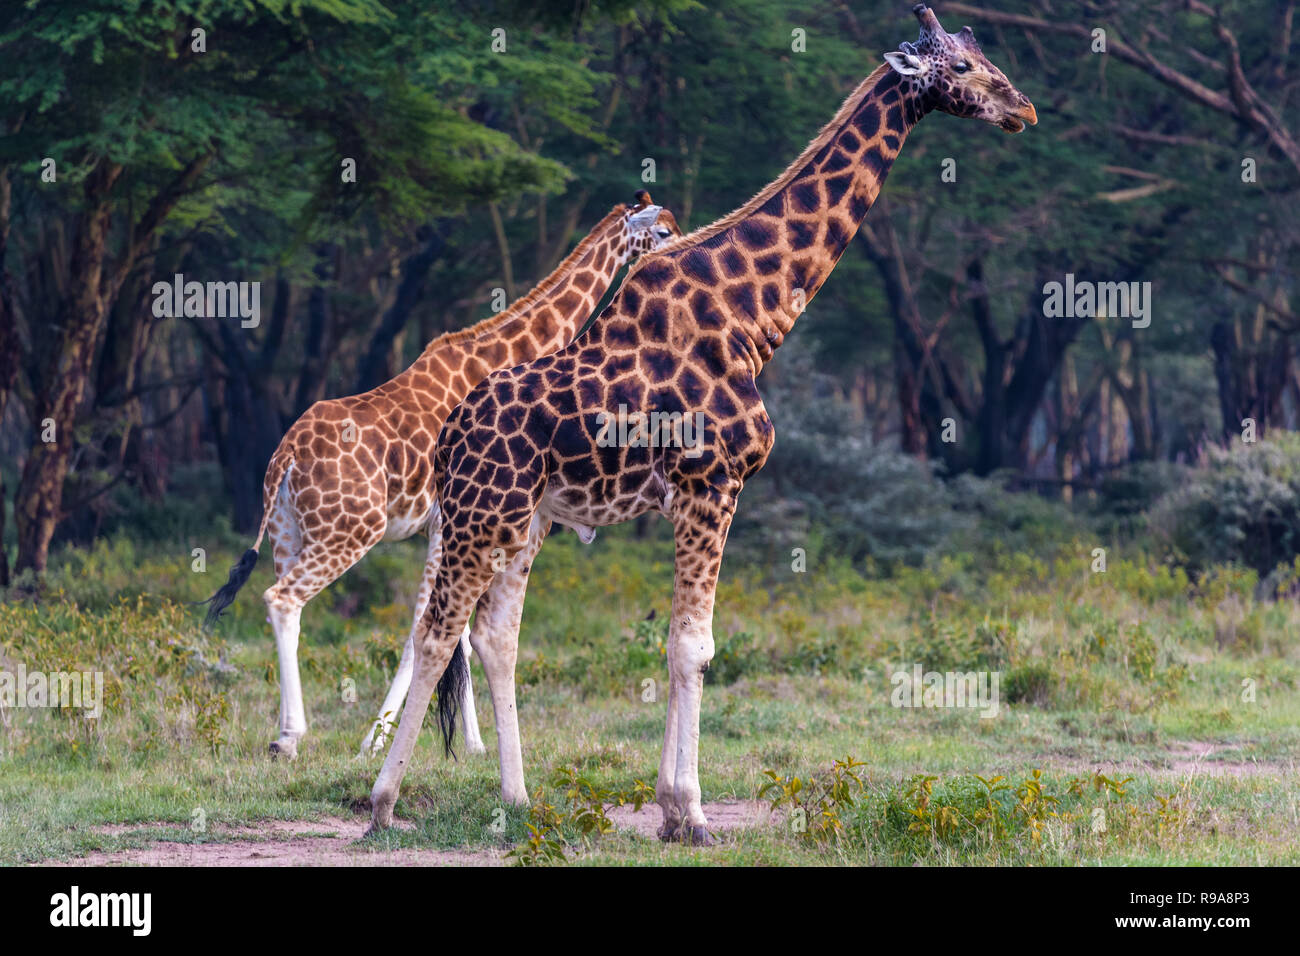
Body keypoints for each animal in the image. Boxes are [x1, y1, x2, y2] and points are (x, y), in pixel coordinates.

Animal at [200, 192, 681, 760]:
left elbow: (453, 632)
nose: (683, 254)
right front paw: (378, 741)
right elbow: (428, 629)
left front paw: (469, 744)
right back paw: (290, 736)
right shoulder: (451, 521)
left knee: (284, 606)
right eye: (665, 232)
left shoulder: (453, 525)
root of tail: (286, 458)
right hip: (349, 532)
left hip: (288, 534)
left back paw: (282, 733)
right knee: (283, 599)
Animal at [366, 3, 1036, 841]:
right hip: (479, 511)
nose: (1023, 110)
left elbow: (686, 645)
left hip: (527, 519)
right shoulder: (710, 484)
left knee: (494, 635)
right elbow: (692, 645)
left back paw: (516, 802)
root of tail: (452, 433)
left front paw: (673, 809)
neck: (754, 315)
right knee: (435, 632)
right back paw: (382, 805)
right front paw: (687, 811)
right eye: (967, 67)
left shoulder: (701, 493)